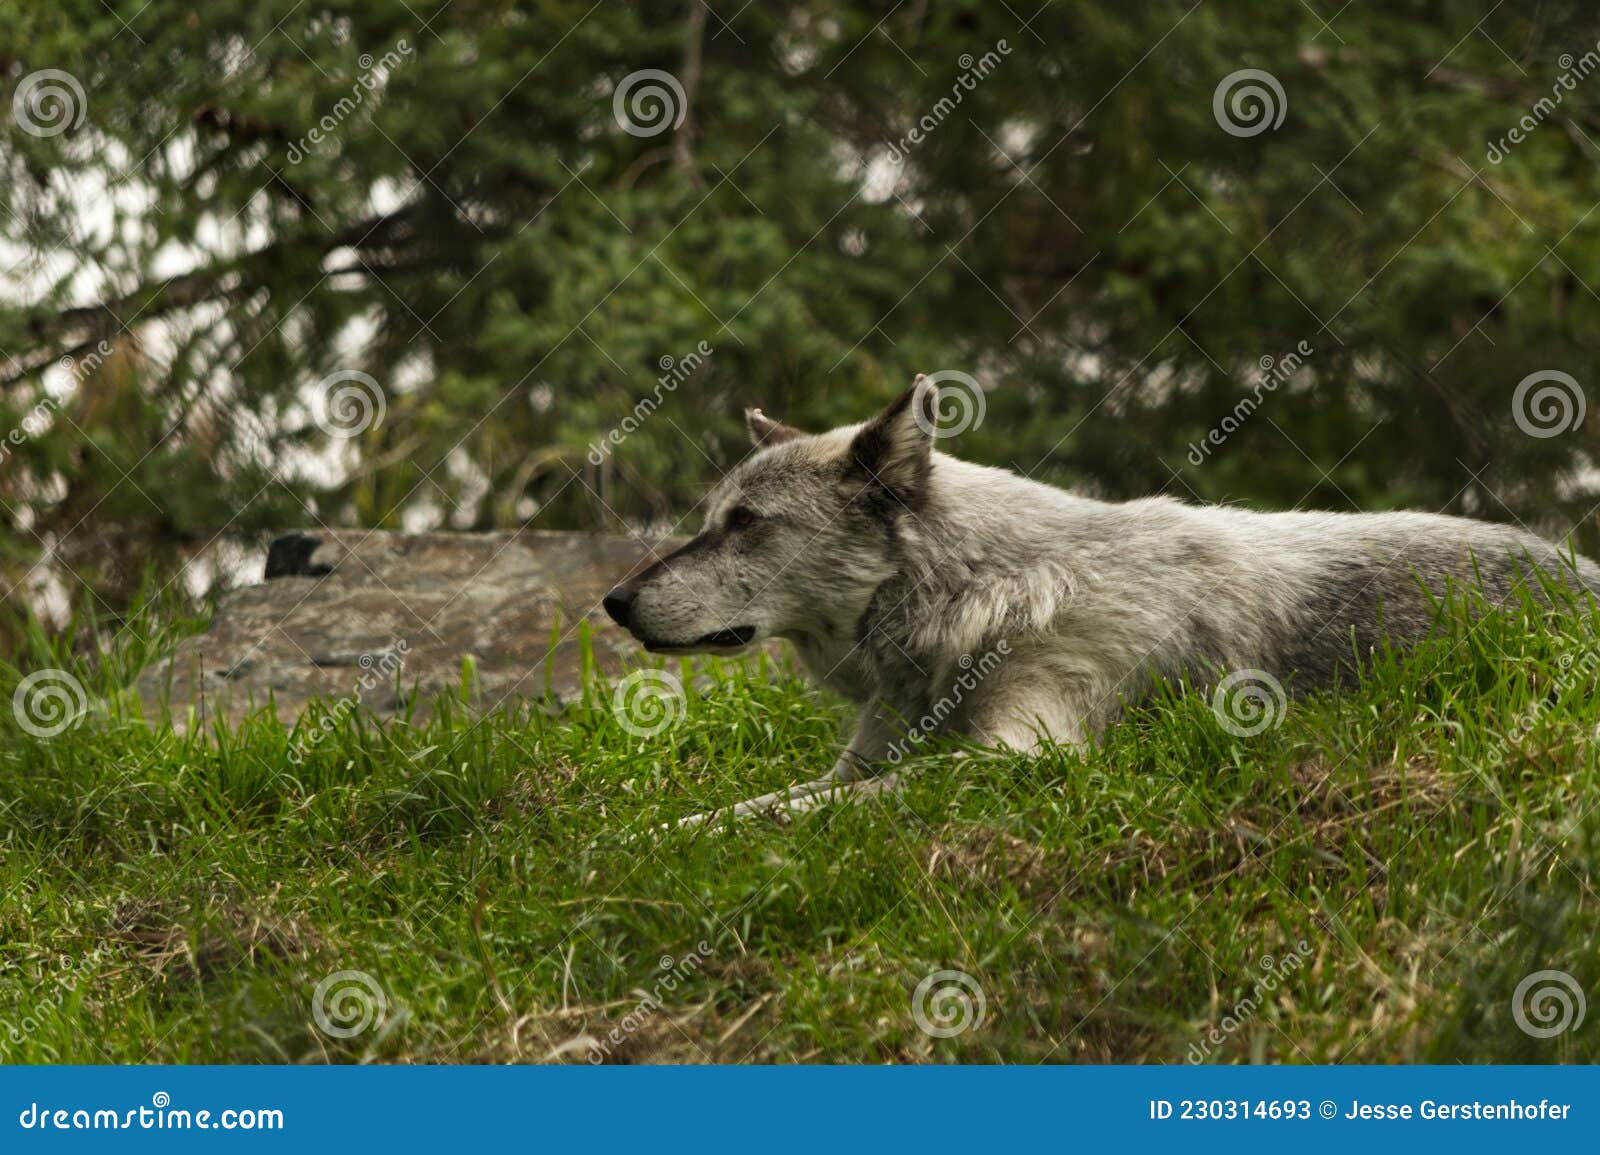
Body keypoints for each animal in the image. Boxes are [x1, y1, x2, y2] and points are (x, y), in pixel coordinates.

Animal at [603, 376, 1599, 827]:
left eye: (743, 523)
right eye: (712, 517)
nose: (611, 601)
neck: (979, 593)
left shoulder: (1021, 760)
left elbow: (787, 813)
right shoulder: (857, 764)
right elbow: (740, 808)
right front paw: (644, 832)